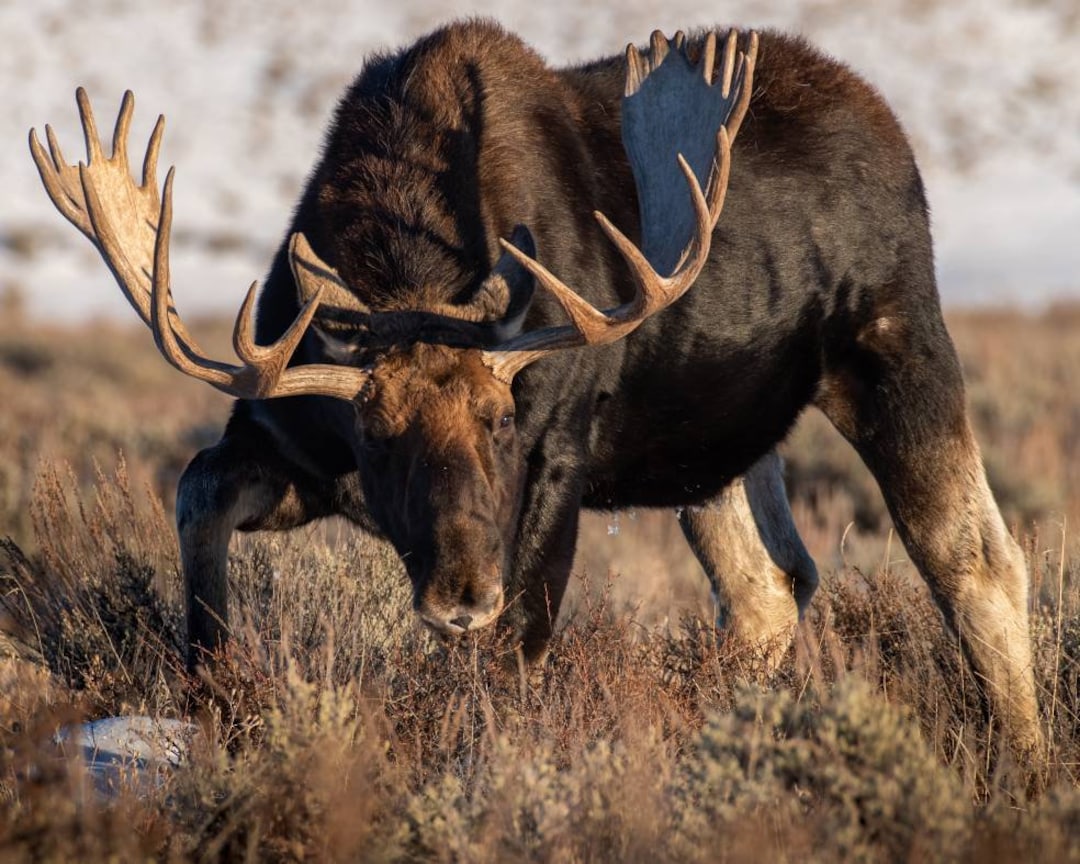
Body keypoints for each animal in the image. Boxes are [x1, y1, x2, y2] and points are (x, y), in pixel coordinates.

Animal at [31, 21, 1041, 752]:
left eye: (501, 419)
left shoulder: (559, 463)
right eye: (374, 433)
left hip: (896, 343)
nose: (457, 594)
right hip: (717, 448)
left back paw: (1021, 762)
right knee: (770, 583)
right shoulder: (293, 446)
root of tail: (890, 124)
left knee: (974, 559)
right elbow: (196, 490)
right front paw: (208, 683)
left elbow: (518, 644)